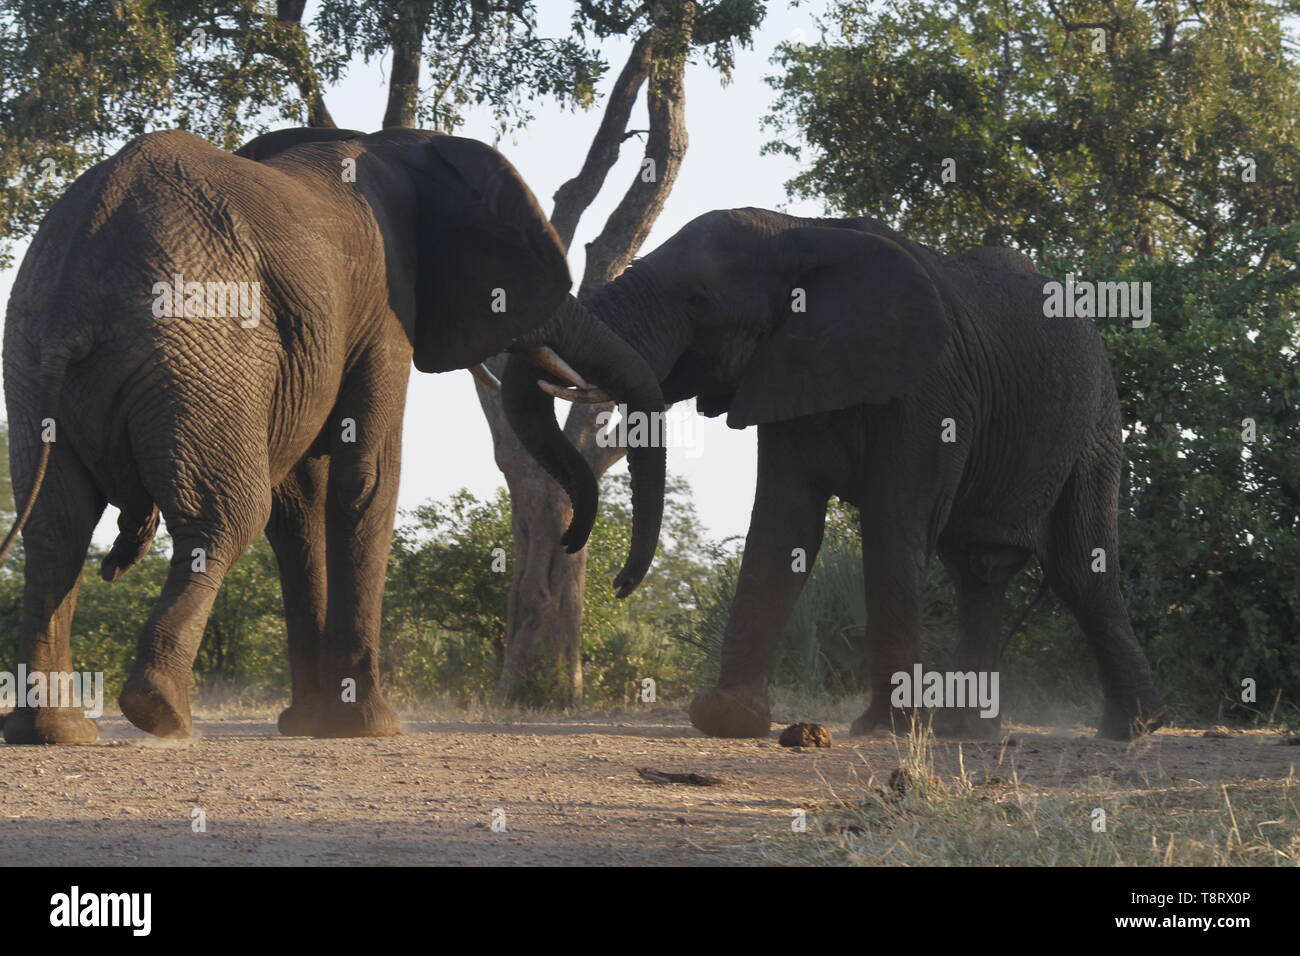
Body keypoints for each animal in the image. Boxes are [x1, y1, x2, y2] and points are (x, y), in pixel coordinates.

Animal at [0, 125, 610, 744]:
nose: (570, 541)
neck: (392, 145)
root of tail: (74, 298)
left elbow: (299, 505)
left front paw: (310, 723)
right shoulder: (386, 310)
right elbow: (368, 476)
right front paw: (368, 728)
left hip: (30, 356)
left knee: (57, 528)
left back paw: (54, 732)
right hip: (202, 351)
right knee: (226, 515)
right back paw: (159, 711)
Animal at [499, 207, 1164, 741]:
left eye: (698, 304)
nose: (615, 583)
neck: (798, 230)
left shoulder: (930, 391)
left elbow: (892, 529)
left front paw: (884, 731)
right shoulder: (785, 372)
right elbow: (784, 525)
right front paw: (728, 719)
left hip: (1094, 424)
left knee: (1079, 569)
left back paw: (1129, 732)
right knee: (977, 573)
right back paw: (967, 734)